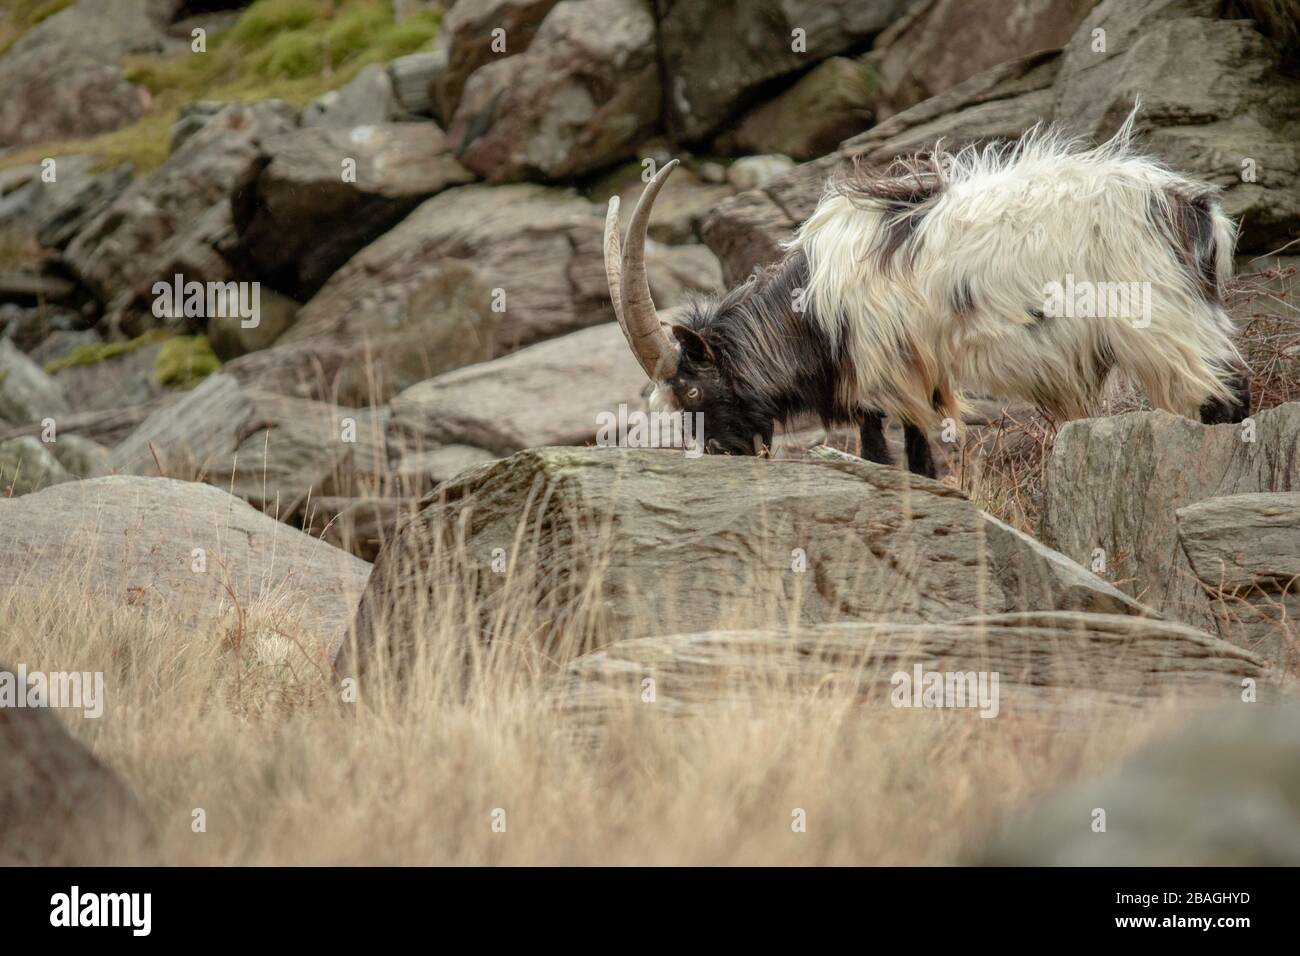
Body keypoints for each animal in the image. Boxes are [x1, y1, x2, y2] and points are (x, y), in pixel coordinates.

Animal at [602, 114, 1251, 476]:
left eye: (692, 388)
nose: (725, 454)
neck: (812, 306)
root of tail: (1193, 210)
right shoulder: (918, 377)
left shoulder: (884, 376)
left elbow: (890, 455)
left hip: (1164, 326)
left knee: (1224, 398)